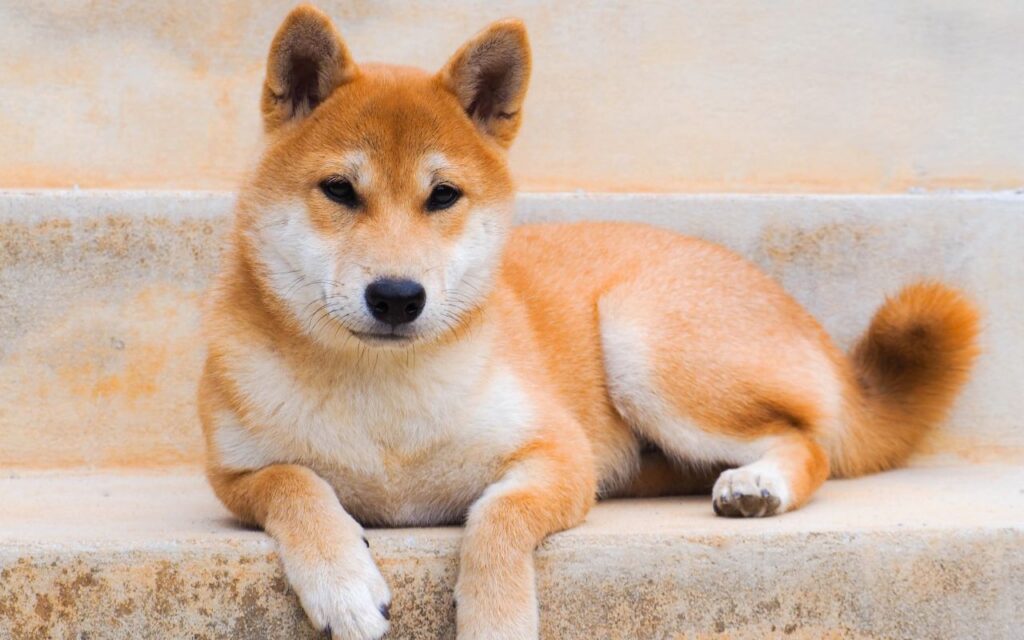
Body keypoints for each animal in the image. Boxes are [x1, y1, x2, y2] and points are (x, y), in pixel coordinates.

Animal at [198, 5, 980, 639]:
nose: (396, 295)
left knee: (808, 439)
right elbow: (296, 484)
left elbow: (494, 522)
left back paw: (759, 484)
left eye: (443, 195)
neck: (383, 402)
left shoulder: (559, 453)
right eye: (339, 190)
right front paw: (343, 583)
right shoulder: (236, 474)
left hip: (643, 343)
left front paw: (495, 621)